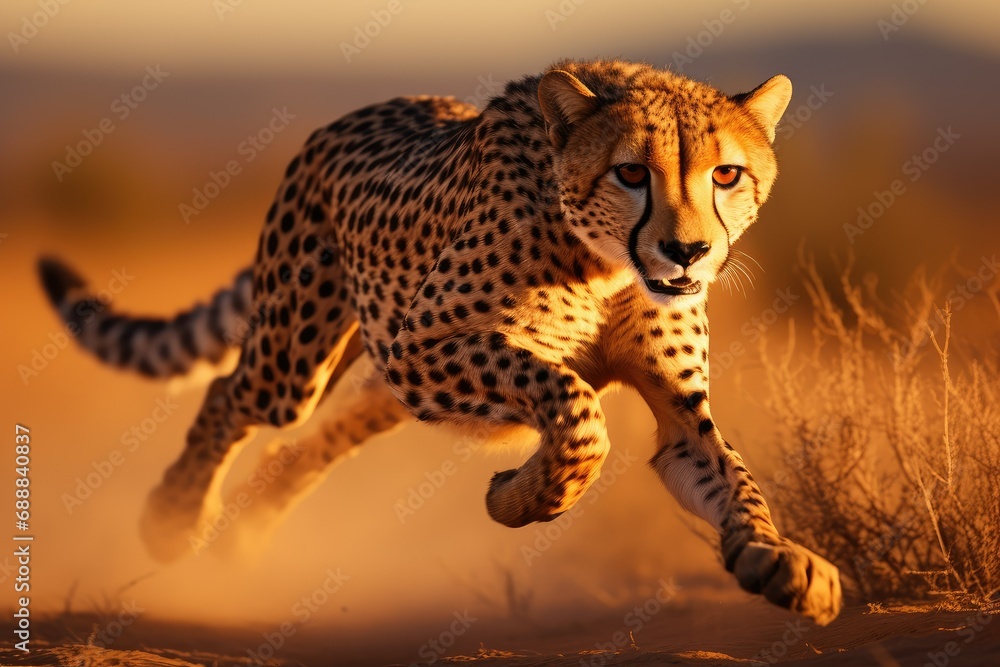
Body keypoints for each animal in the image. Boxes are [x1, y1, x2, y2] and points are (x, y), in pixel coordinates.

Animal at [39, 58, 842, 625]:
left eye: (726, 174)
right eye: (631, 173)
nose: (688, 251)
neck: (609, 265)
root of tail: (357, 112)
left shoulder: (676, 411)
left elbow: (732, 478)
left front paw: (781, 559)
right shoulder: (424, 345)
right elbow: (577, 409)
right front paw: (519, 497)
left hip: (376, 388)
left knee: (301, 447)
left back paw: (248, 533)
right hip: (301, 360)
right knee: (233, 395)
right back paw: (173, 521)